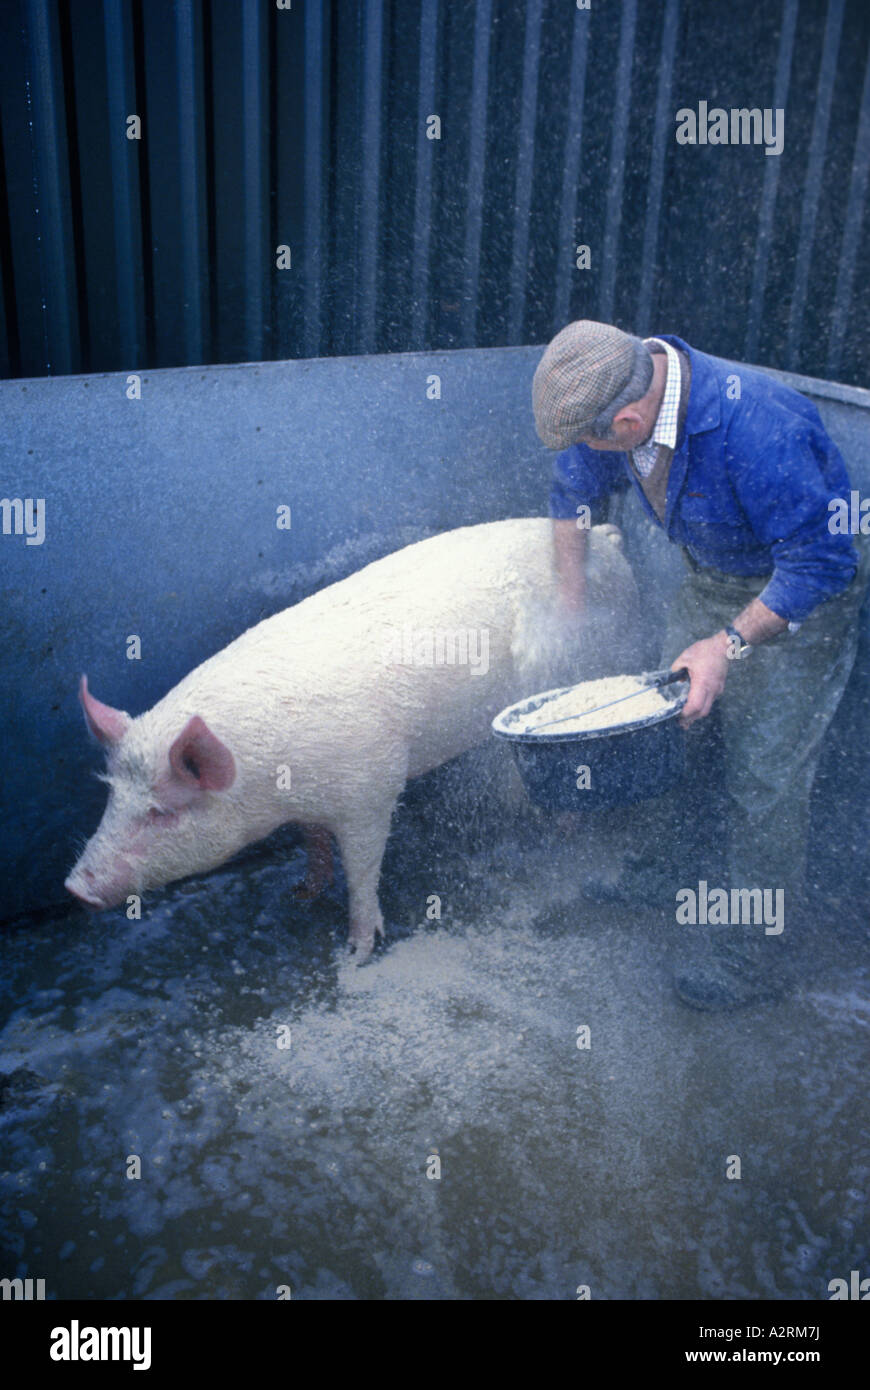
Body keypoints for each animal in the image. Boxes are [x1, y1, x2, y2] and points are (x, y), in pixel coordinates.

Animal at [65, 517, 642, 960]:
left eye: (161, 812)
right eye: (112, 798)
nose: (75, 888)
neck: (272, 782)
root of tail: (607, 540)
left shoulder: (371, 787)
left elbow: (362, 870)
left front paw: (357, 951)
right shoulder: (309, 805)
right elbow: (314, 843)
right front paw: (300, 894)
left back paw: (564, 827)